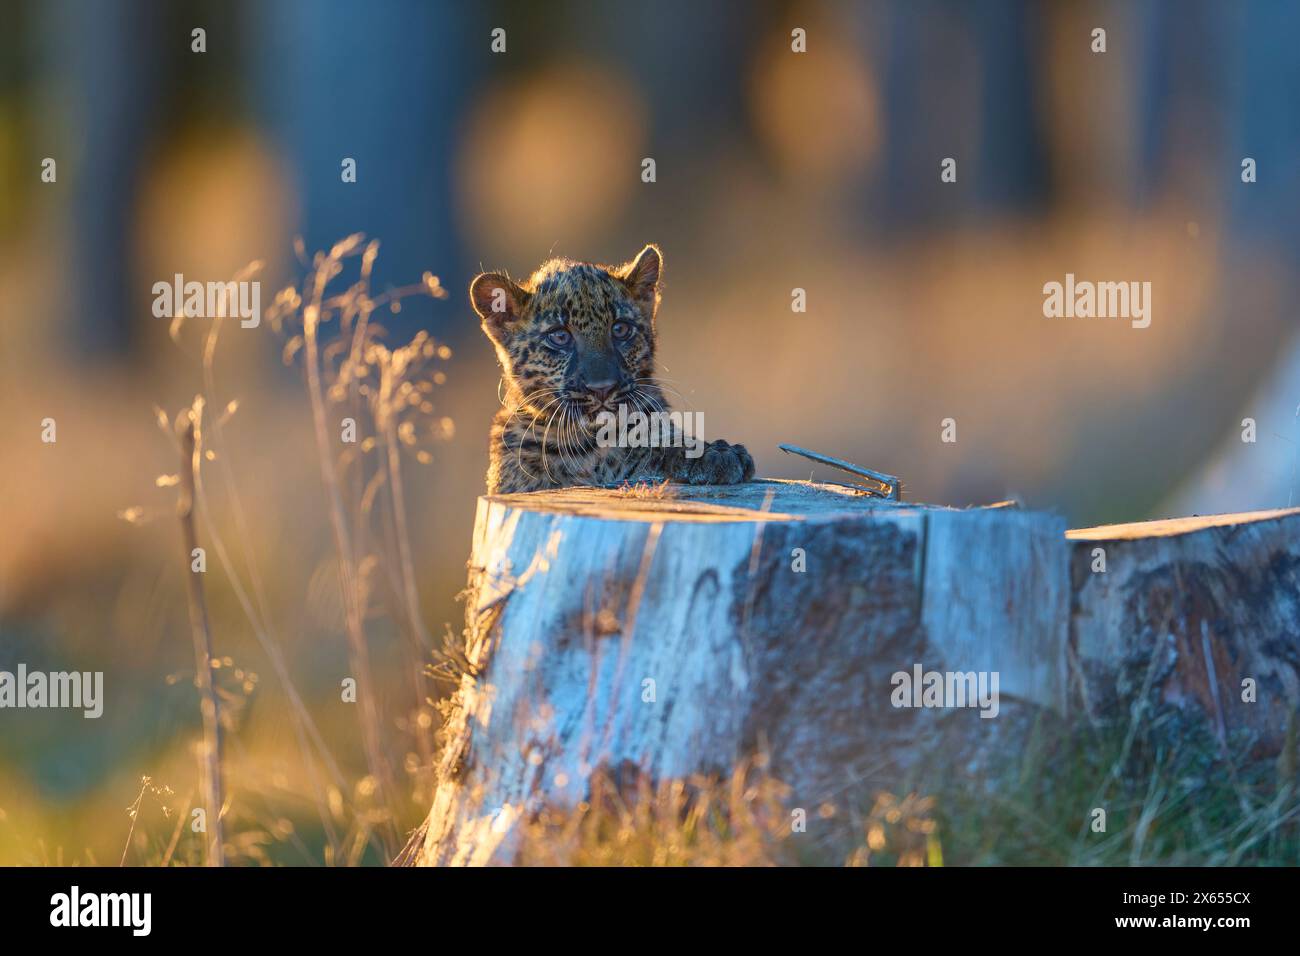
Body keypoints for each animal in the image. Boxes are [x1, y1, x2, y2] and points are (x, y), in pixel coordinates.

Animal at [469, 244, 755, 494]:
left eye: (620, 329)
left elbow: (654, 443)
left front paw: (714, 452)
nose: (602, 389)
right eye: (559, 336)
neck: (590, 445)